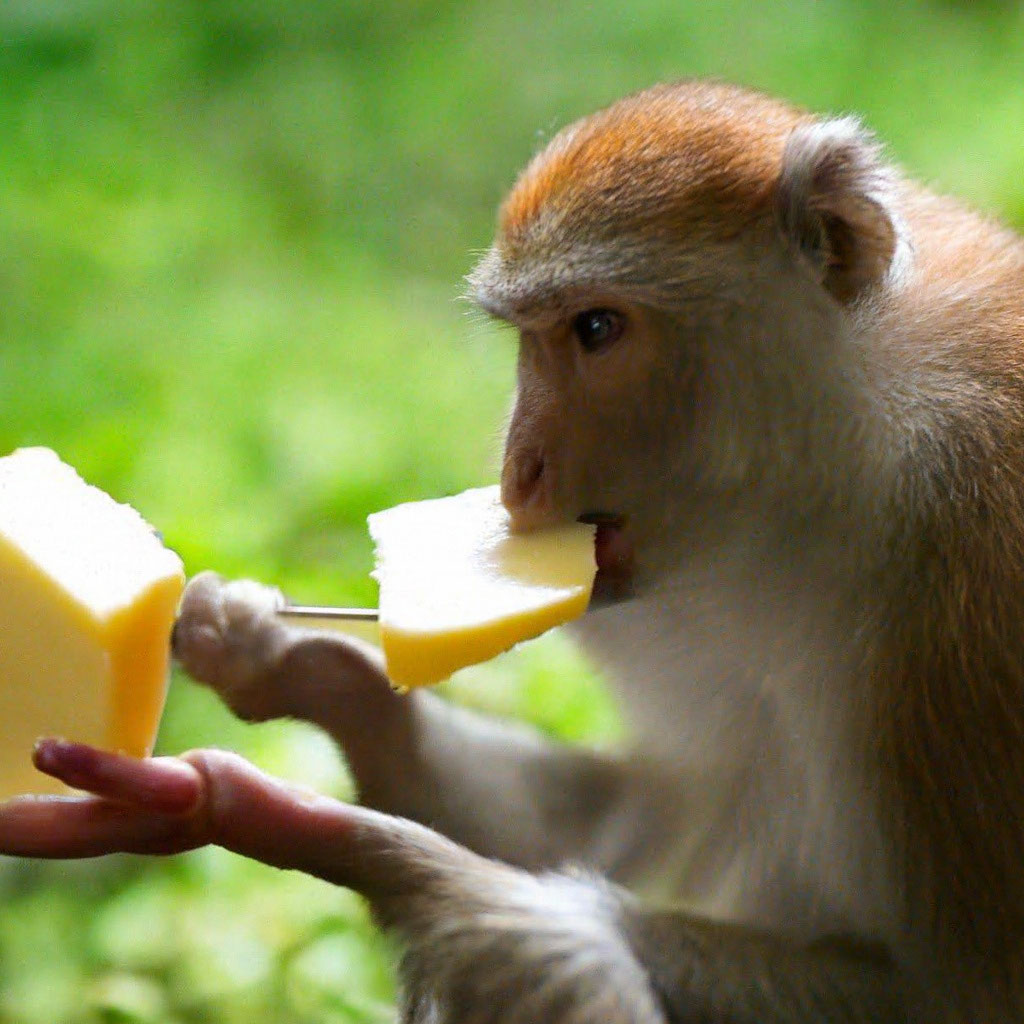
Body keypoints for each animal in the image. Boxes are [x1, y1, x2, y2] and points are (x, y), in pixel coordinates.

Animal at [2, 78, 1024, 1022]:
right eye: (528, 340)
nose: (513, 472)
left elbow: (950, 993)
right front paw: (293, 661)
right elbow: (650, 812)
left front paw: (490, 915)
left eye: (597, 329)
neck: (840, 467)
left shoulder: (957, 617)